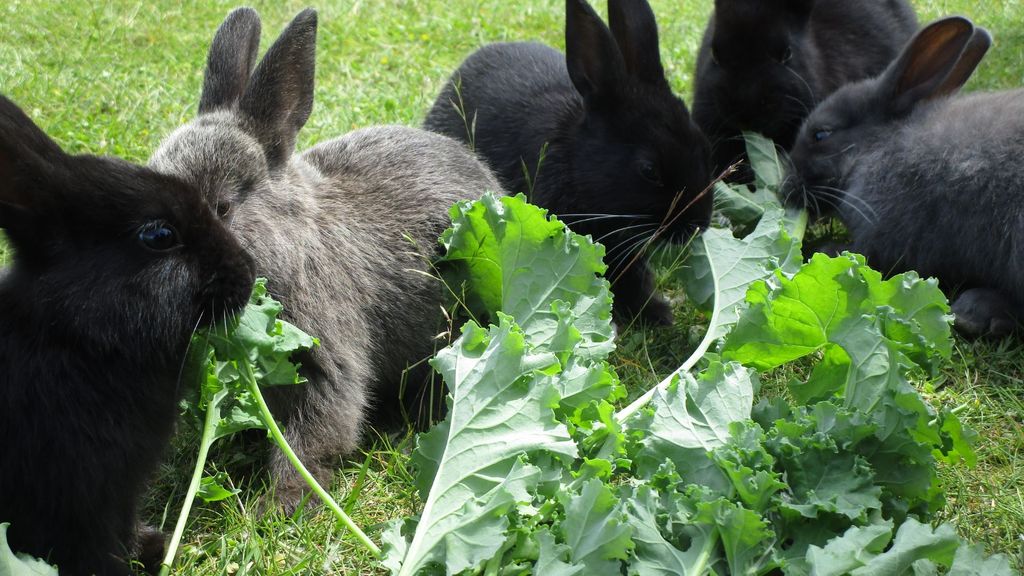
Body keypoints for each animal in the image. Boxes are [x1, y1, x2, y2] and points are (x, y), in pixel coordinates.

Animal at [0, 94, 255, 575]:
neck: (76, 339)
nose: (248, 273)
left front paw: (152, 547)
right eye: (159, 235)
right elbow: (98, 547)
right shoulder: (83, 498)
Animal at [781, 16, 1021, 338]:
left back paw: (975, 313)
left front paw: (824, 249)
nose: (783, 189)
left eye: (821, 134)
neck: (877, 148)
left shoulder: (884, 231)